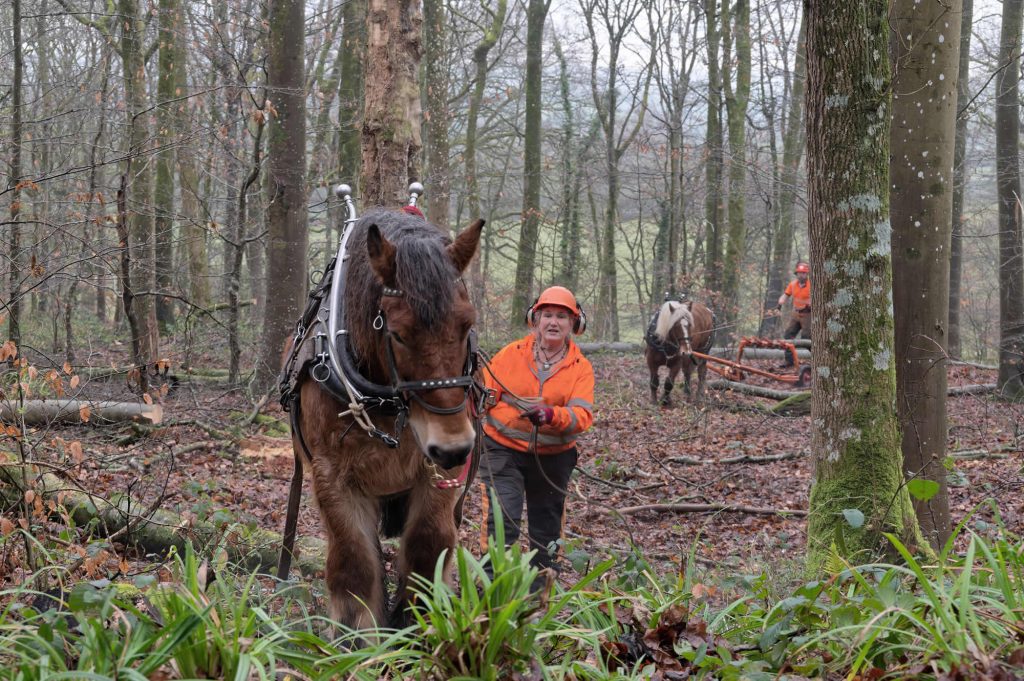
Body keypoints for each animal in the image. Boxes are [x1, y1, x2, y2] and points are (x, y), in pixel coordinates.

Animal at [280, 207, 484, 630]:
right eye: (399, 334)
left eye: (466, 324)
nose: (454, 447)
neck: (387, 401)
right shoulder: (332, 476)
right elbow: (354, 562)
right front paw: (358, 636)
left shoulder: (436, 473)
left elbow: (428, 548)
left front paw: (417, 624)